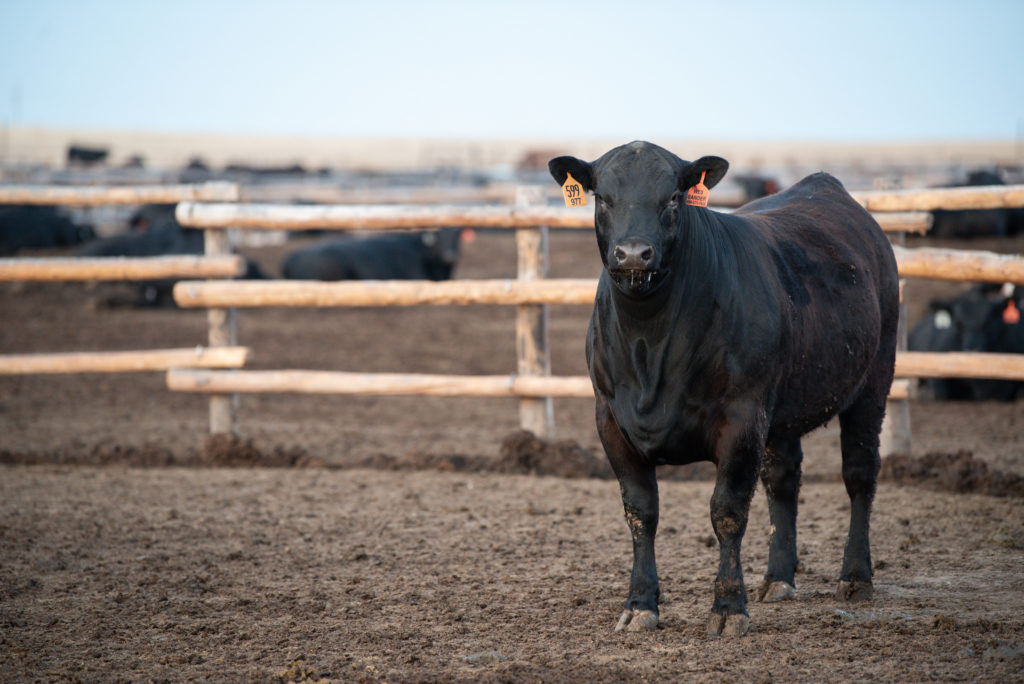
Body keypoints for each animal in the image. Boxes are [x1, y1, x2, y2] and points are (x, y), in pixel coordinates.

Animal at [548, 141, 899, 637]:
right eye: (602, 199)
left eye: (673, 198)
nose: (633, 254)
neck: (649, 346)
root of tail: (824, 186)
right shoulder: (611, 420)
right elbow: (641, 512)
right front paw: (640, 604)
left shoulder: (742, 418)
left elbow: (727, 511)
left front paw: (729, 608)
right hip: (783, 409)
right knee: (783, 480)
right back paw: (779, 578)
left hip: (873, 383)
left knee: (860, 473)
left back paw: (855, 576)